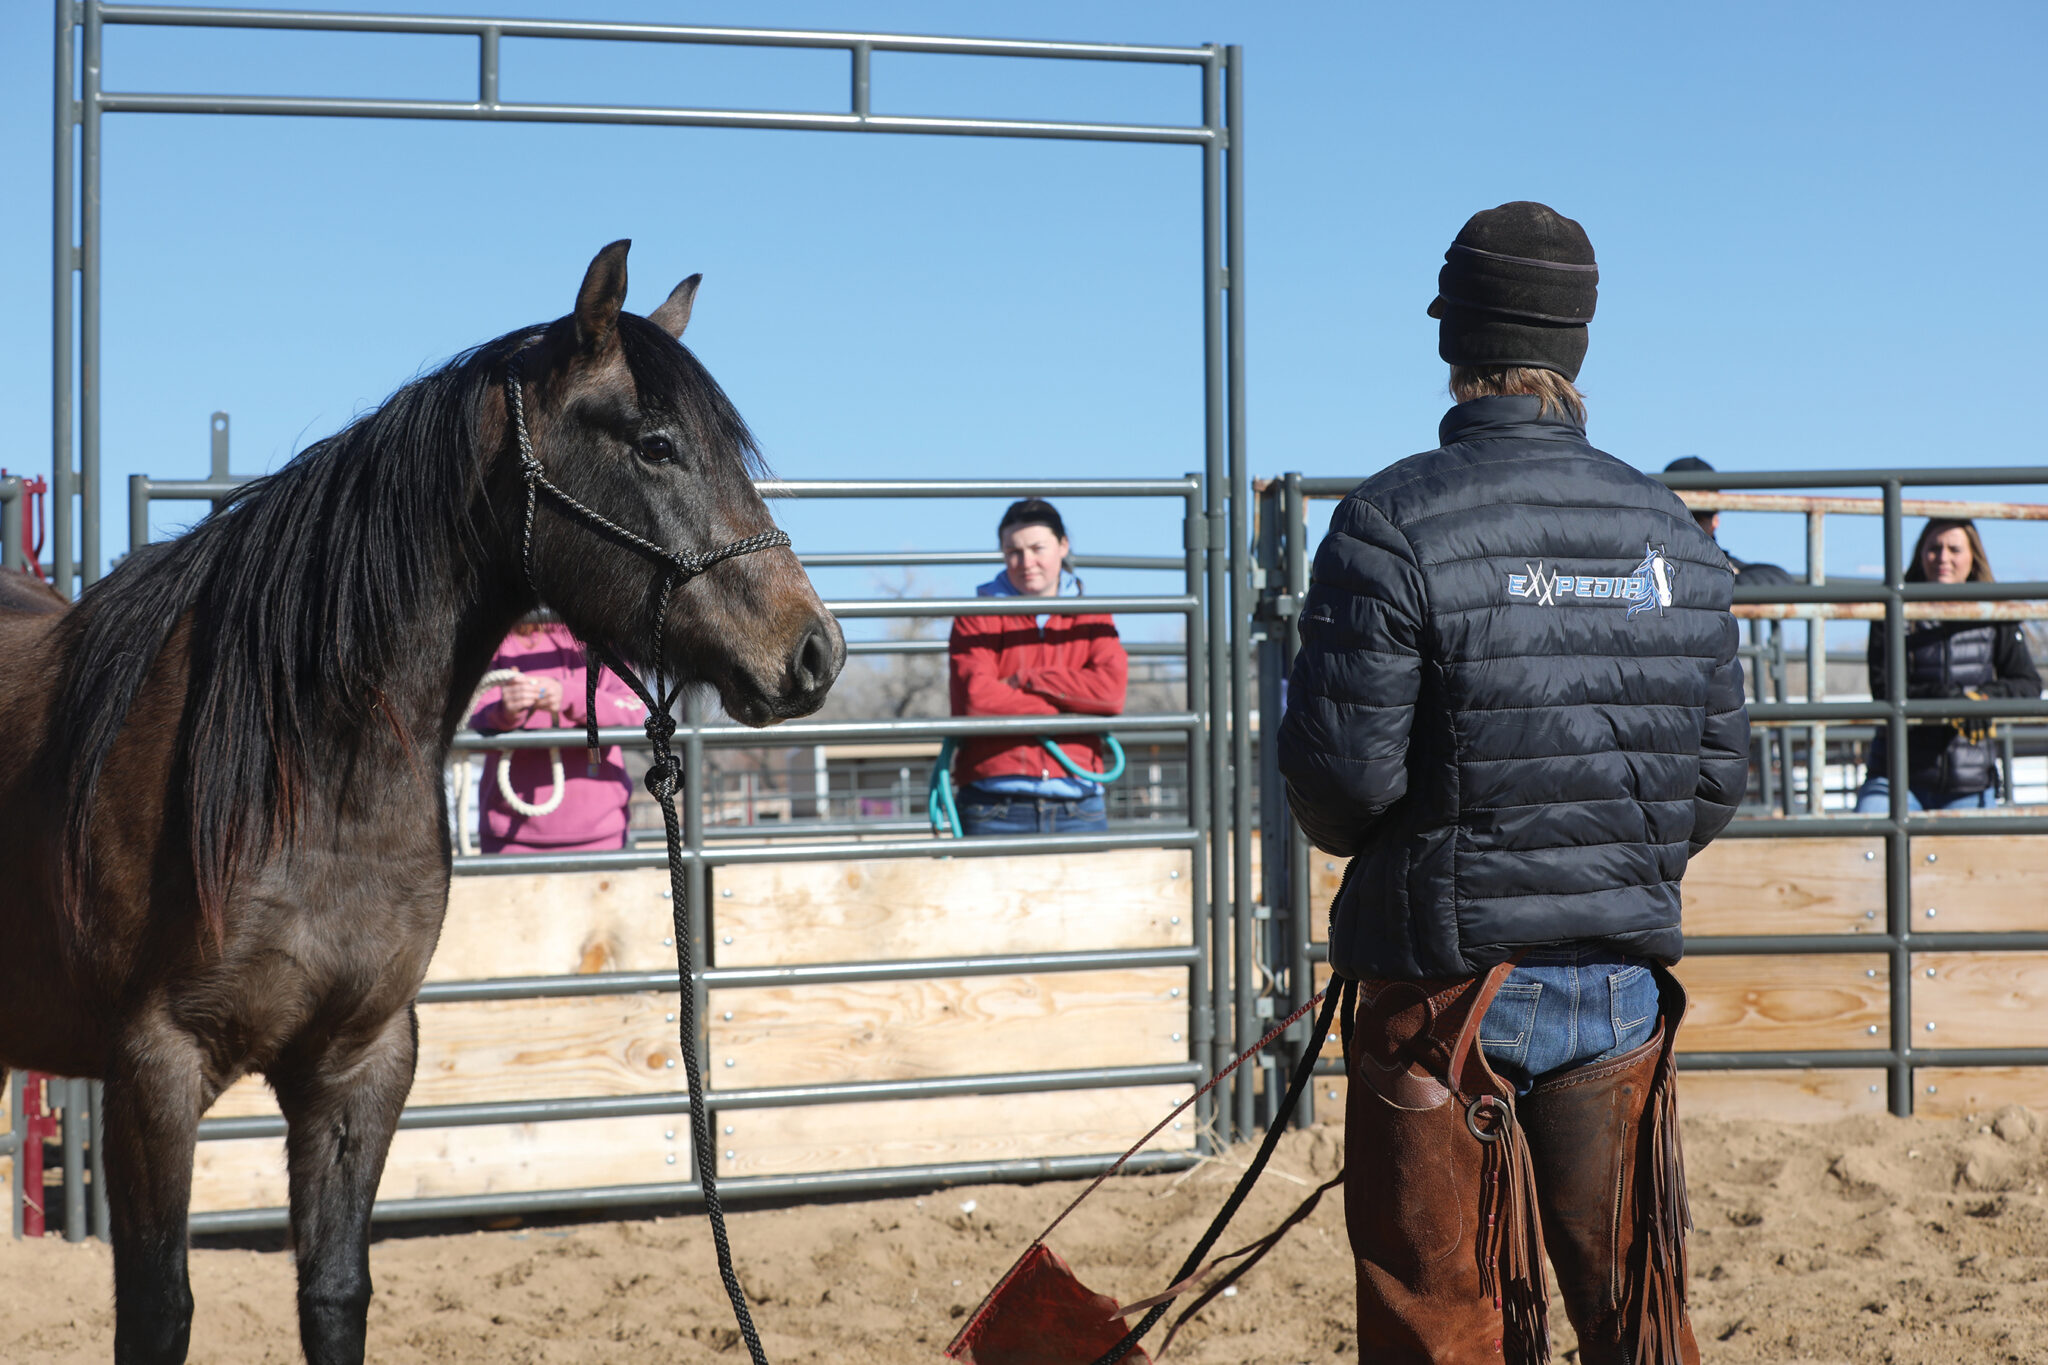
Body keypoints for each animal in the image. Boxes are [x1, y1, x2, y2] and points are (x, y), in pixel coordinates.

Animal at [0, 241, 843, 1365]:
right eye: (657, 444)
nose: (813, 652)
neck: (304, 777)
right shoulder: (152, 1073)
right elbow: (159, 1308)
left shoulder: (360, 1063)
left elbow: (334, 1291)